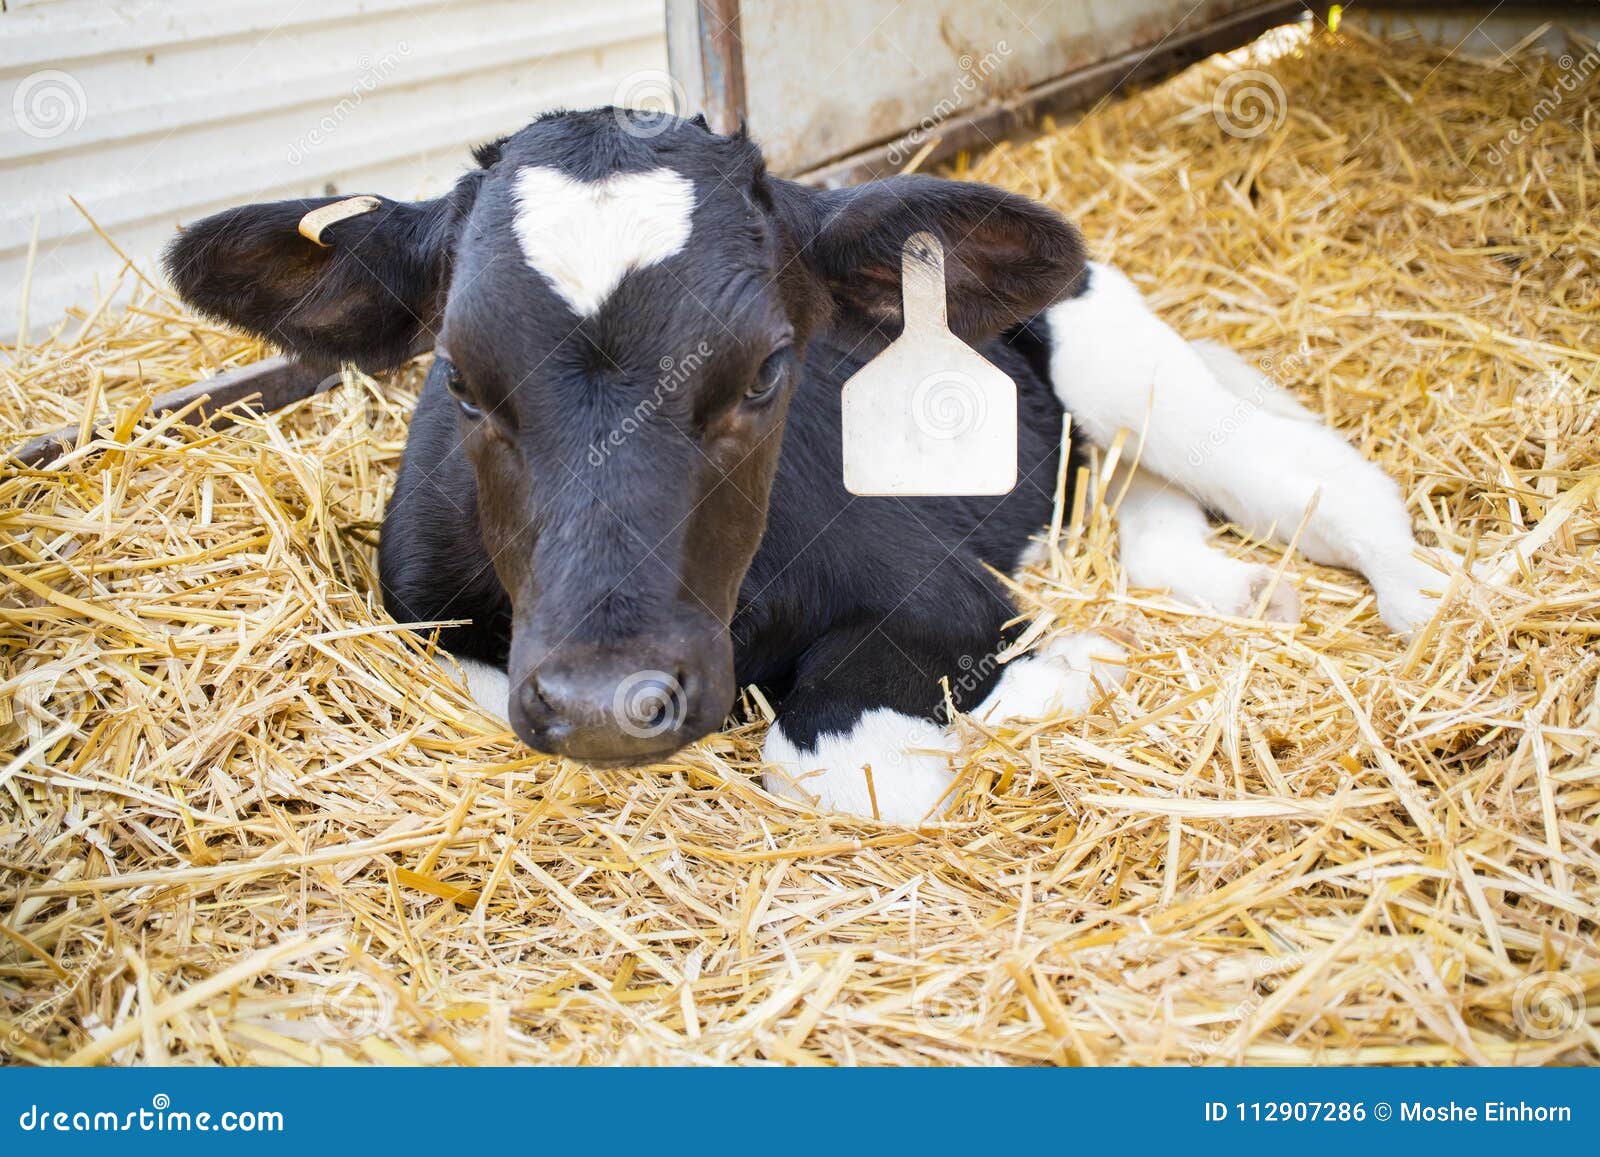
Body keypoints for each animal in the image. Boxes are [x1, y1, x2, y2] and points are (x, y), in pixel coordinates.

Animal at [164, 108, 1455, 824]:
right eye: (461, 379)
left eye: (768, 369)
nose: (606, 700)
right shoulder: (424, 608)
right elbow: (479, 687)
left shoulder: (942, 589)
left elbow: (852, 765)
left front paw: (1066, 669)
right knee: (1148, 508)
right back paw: (1245, 588)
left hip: (1124, 358)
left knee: (1310, 476)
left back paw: (1431, 603)